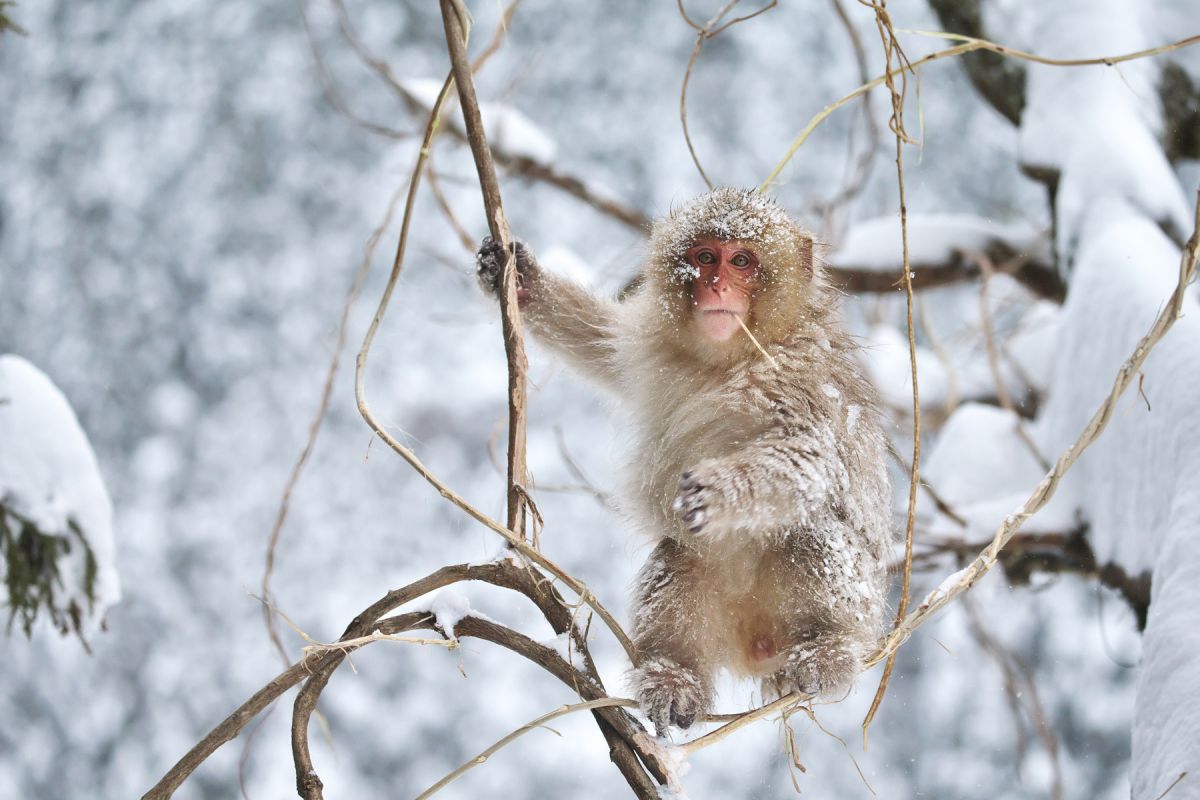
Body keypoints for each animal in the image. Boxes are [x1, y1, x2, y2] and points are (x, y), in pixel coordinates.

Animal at [476, 188, 892, 733]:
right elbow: (601, 342)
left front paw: (720, 490)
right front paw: (521, 279)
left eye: (742, 261)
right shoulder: (648, 345)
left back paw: (829, 649)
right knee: (679, 557)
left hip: (857, 606)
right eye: (705, 257)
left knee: (811, 527)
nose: (716, 285)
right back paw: (674, 677)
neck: (729, 359)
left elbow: (810, 460)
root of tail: (759, 651)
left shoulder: (799, 374)